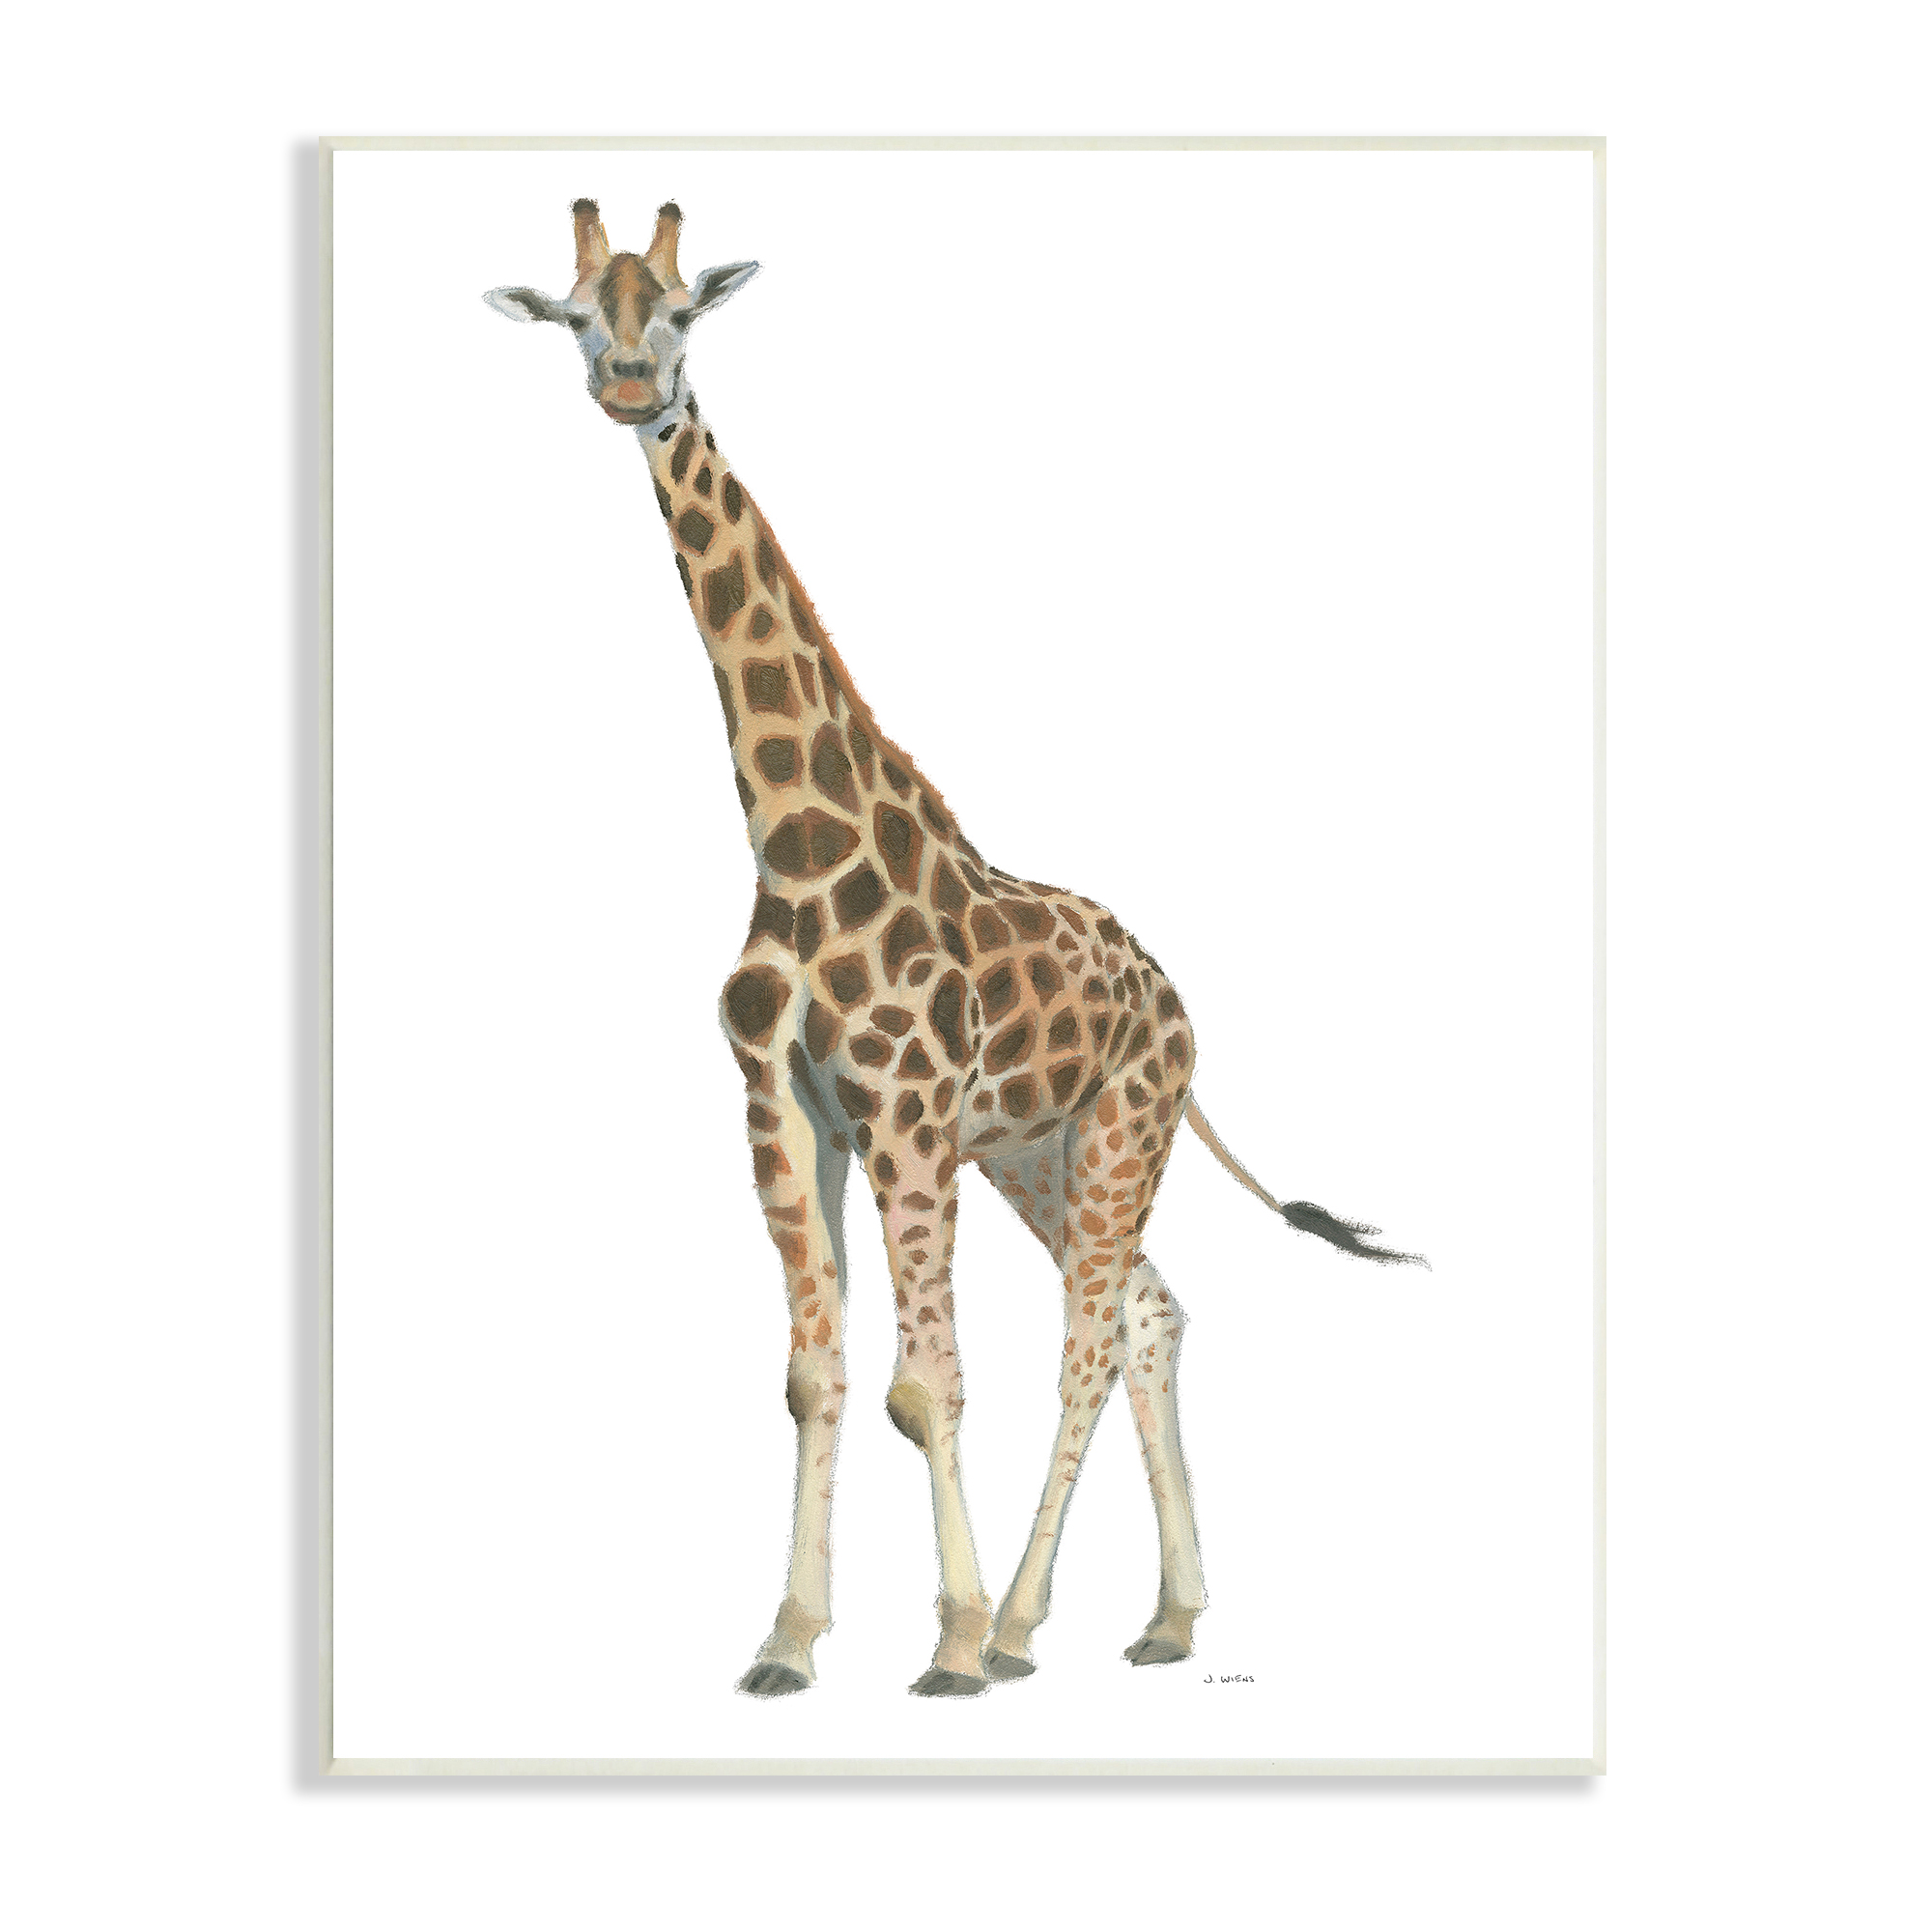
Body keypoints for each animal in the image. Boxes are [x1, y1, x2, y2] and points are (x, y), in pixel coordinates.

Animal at [486, 198, 1423, 1698]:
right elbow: (813, 1375)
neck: (794, 845)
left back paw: (1027, 1625)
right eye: (578, 316)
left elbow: (925, 1382)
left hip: (1114, 1130)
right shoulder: (786, 1106)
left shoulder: (906, 1111)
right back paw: (1157, 1618)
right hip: (1037, 1152)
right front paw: (788, 1639)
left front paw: (954, 1637)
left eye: (680, 313)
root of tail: (1175, 999)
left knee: (1091, 1334)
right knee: (1150, 1309)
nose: (631, 388)